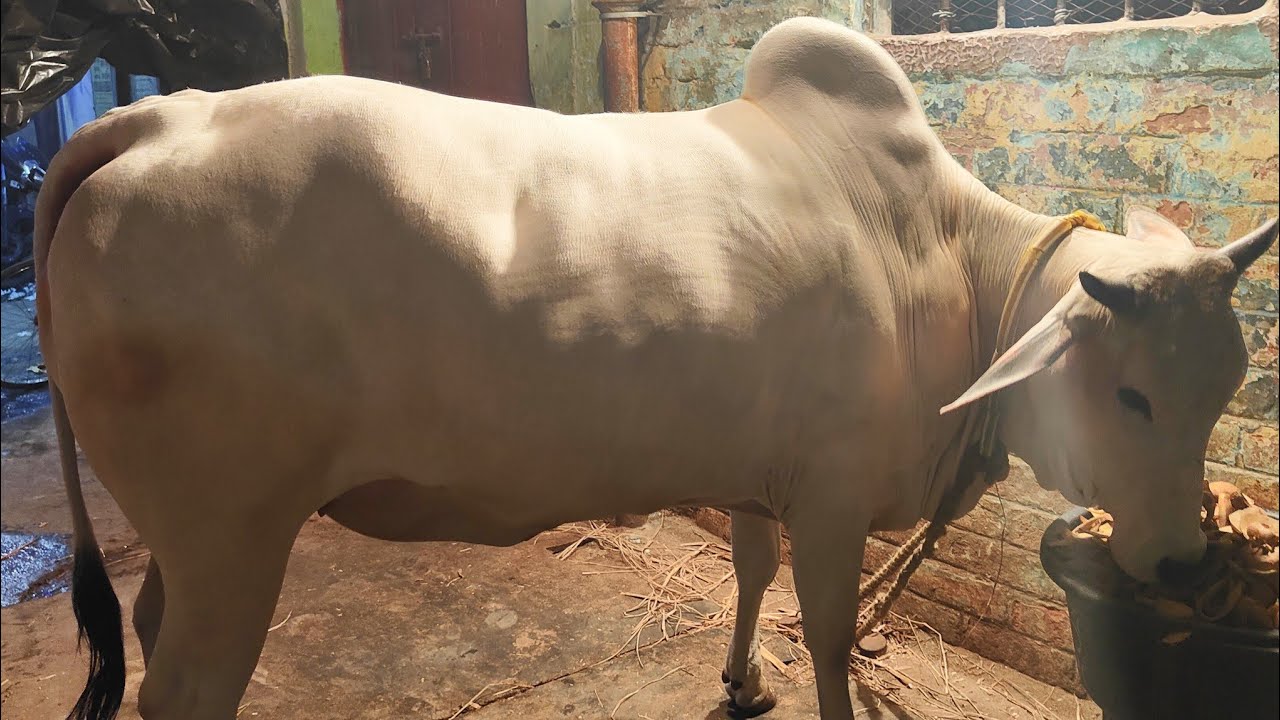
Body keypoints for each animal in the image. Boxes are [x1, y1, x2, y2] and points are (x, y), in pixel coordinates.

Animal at [34, 16, 1276, 720]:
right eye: (1129, 393)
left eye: (1219, 390)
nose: (1178, 561)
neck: (938, 255)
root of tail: (156, 119)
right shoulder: (834, 498)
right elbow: (827, 634)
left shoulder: (763, 475)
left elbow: (749, 570)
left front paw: (741, 680)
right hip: (231, 537)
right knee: (184, 687)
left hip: (195, 544)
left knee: (144, 631)